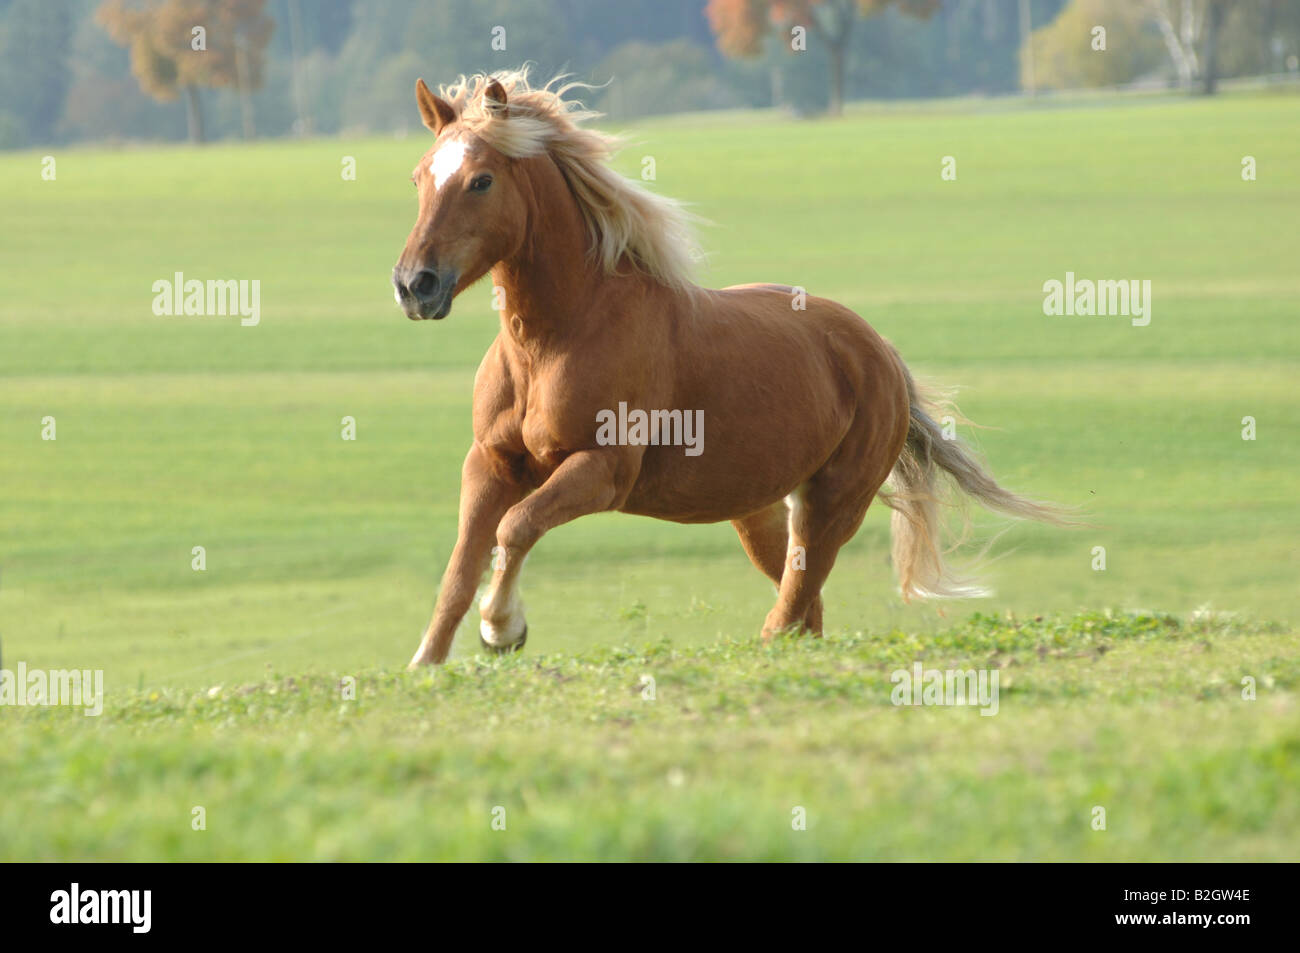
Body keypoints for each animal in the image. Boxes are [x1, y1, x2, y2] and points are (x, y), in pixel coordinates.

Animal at [393, 69, 1067, 667]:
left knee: (795, 604)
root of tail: (878, 352)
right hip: (761, 512)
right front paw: (426, 661)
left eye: (481, 181)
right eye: (420, 176)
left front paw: (503, 630)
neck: (555, 340)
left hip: (832, 503)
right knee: (808, 608)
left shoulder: (602, 469)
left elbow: (515, 528)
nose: (414, 285)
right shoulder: (491, 462)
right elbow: (461, 567)